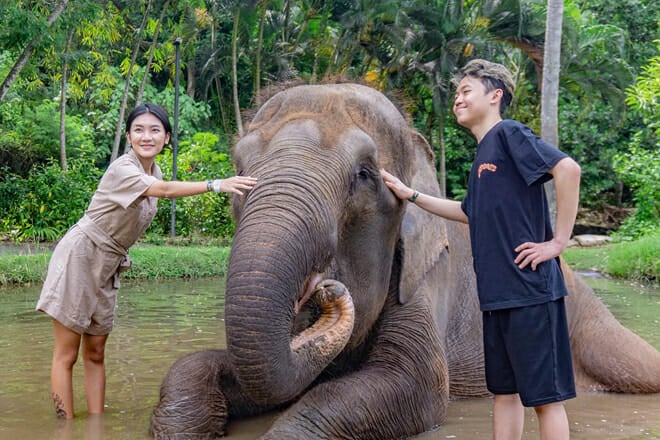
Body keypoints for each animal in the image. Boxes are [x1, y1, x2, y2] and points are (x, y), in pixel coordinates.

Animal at [150, 83, 660, 439]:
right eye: (239, 170)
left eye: (364, 174)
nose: (325, 288)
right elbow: (204, 368)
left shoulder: (424, 278)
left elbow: (414, 386)